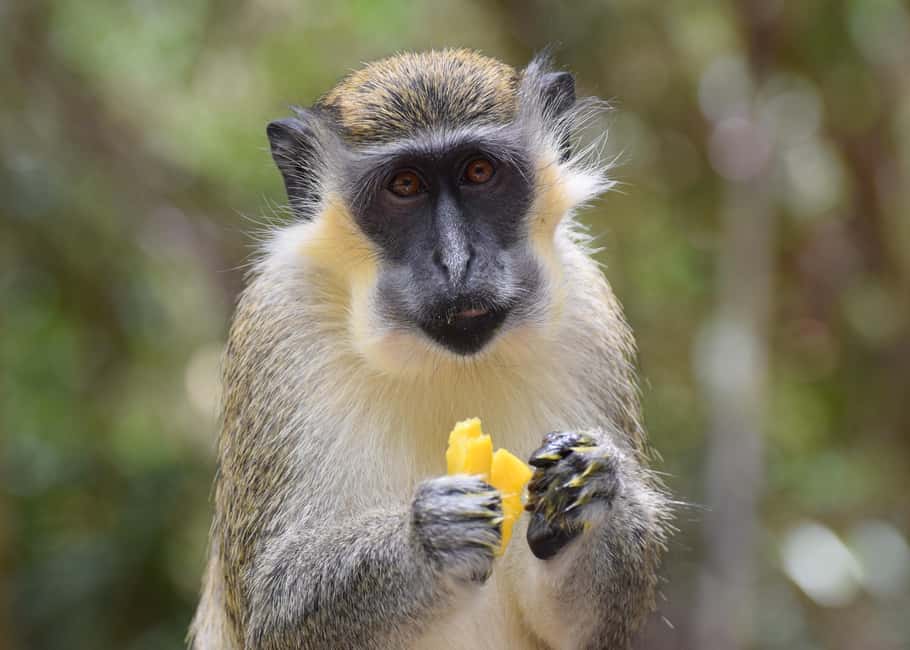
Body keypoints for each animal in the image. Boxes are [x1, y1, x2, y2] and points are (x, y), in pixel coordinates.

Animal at [189, 49, 670, 650]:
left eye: (479, 172)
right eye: (405, 185)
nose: (456, 262)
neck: (439, 360)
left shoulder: (587, 312)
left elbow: (592, 631)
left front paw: (590, 486)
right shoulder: (277, 325)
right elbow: (272, 608)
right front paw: (429, 537)